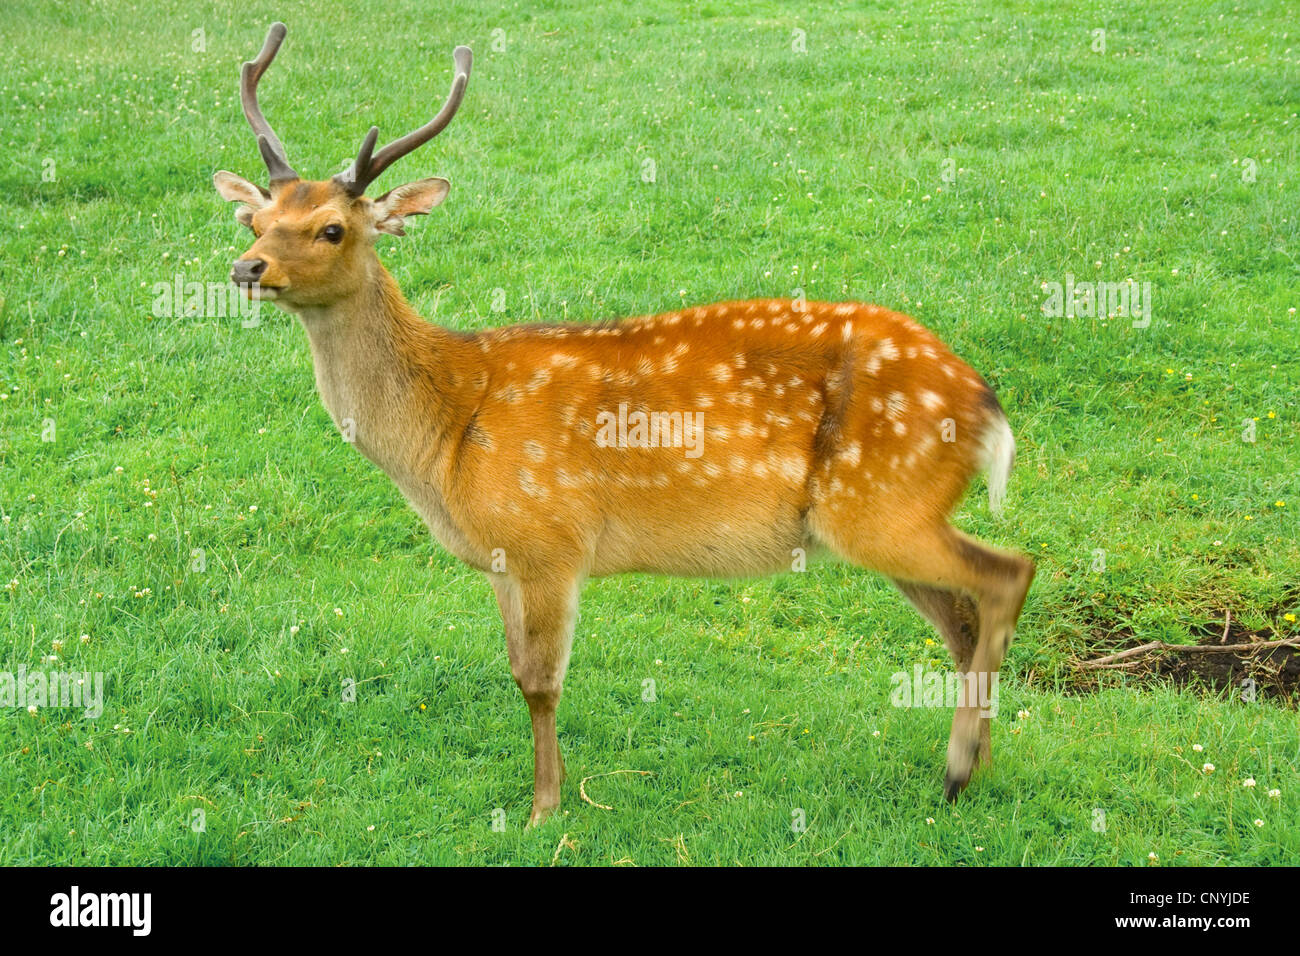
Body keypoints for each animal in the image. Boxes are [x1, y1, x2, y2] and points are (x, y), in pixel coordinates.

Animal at [214, 23, 1036, 827]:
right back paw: (979, 769)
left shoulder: (551, 538)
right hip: (876, 515)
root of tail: (983, 401)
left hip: (881, 499)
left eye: (331, 230)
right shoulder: (503, 557)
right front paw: (547, 794)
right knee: (963, 620)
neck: (446, 434)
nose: (247, 267)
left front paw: (546, 810)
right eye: (255, 219)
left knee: (1008, 573)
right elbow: (516, 670)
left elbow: (541, 681)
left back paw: (961, 767)